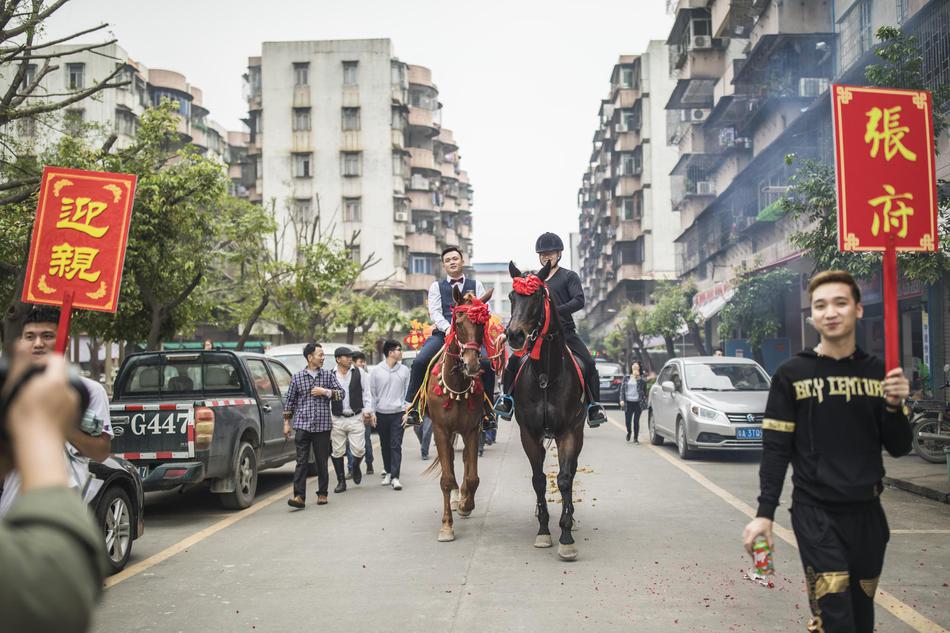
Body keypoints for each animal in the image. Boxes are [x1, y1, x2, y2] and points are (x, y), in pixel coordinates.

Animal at [426, 286, 498, 540]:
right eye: (457, 322)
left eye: (481, 324)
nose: (472, 365)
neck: (456, 384)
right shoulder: (440, 430)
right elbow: (447, 479)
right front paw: (447, 525)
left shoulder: (472, 429)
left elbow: (473, 476)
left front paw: (467, 504)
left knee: (466, 459)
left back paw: (463, 496)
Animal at [506, 260, 588, 560]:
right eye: (511, 296)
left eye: (538, 296)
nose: (514, 335)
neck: (545, 376)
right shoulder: (529, 434)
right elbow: (539, 480)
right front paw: (543, 531)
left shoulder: (568, 432)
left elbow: (564, 479)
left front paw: (566, 536)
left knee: (571, 472)